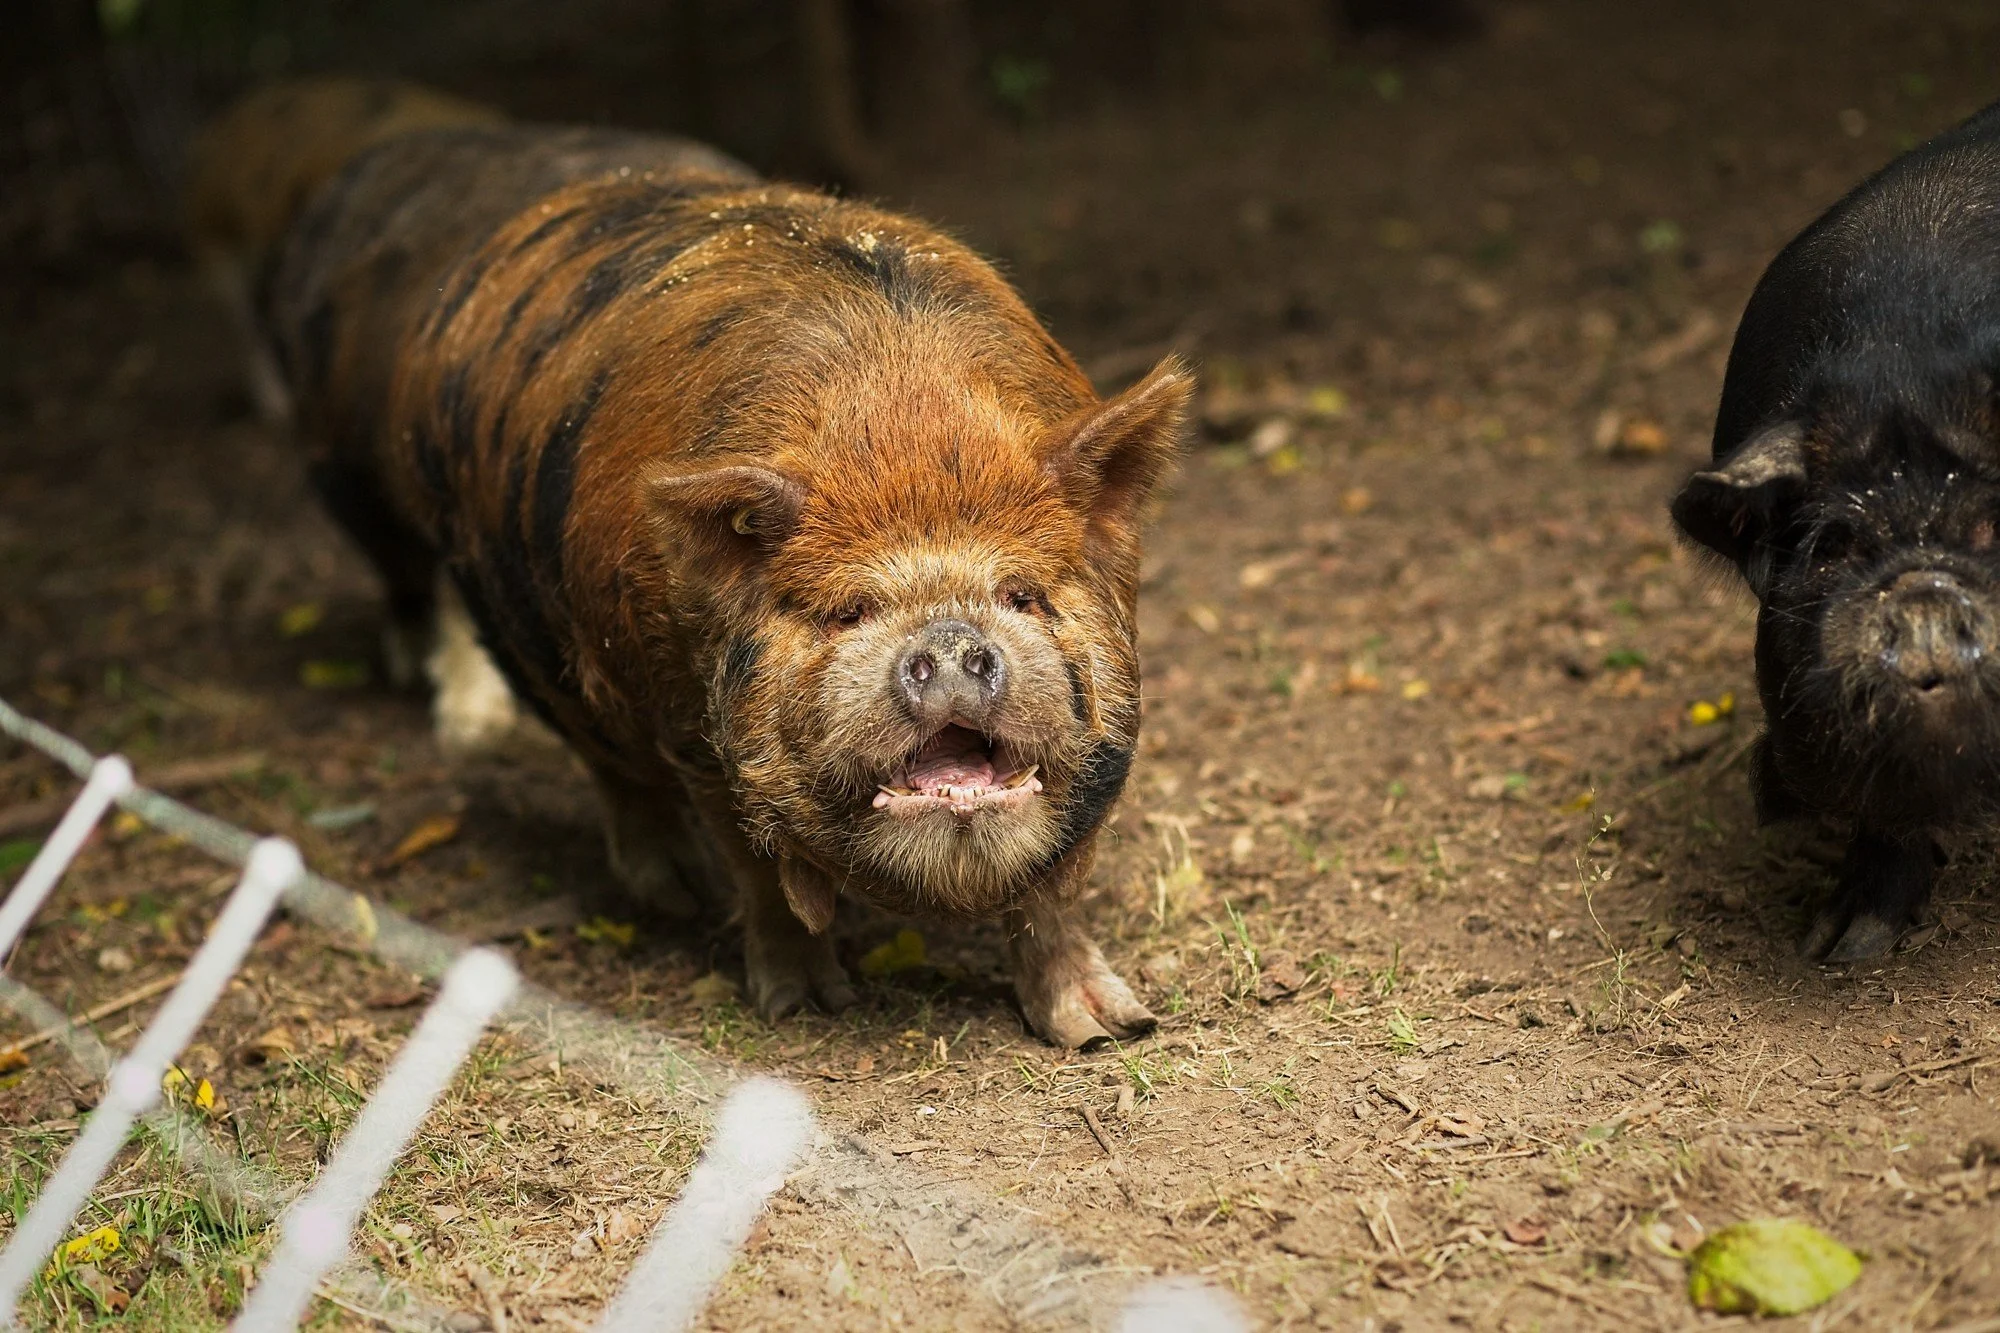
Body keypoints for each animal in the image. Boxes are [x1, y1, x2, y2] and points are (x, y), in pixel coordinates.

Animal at [262, 112, 1189, 1045]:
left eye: (1021, 594)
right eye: (848, 610)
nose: (954, 642)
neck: (903, 421)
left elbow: (1054, 892)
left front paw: (1112, 1026)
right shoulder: (695, 733)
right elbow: (757, 869)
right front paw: (802, 1007)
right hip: (504, 613)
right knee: (600, 756)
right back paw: (672, 888)